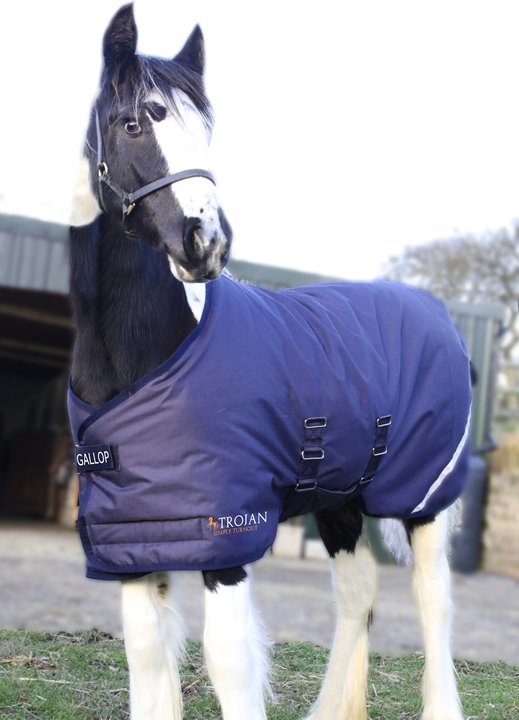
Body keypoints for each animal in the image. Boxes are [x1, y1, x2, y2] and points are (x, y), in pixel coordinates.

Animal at [68, 4, 471, 719]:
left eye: (205, 129)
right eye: (133, 122)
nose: (207, 241)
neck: (142, 363)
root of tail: (435, 311)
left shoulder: (226, 532)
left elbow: (227, 660)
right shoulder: (134, 539)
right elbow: (145, 655)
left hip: (423, 496)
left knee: (434, 604)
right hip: (340, 499)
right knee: (359, 595)